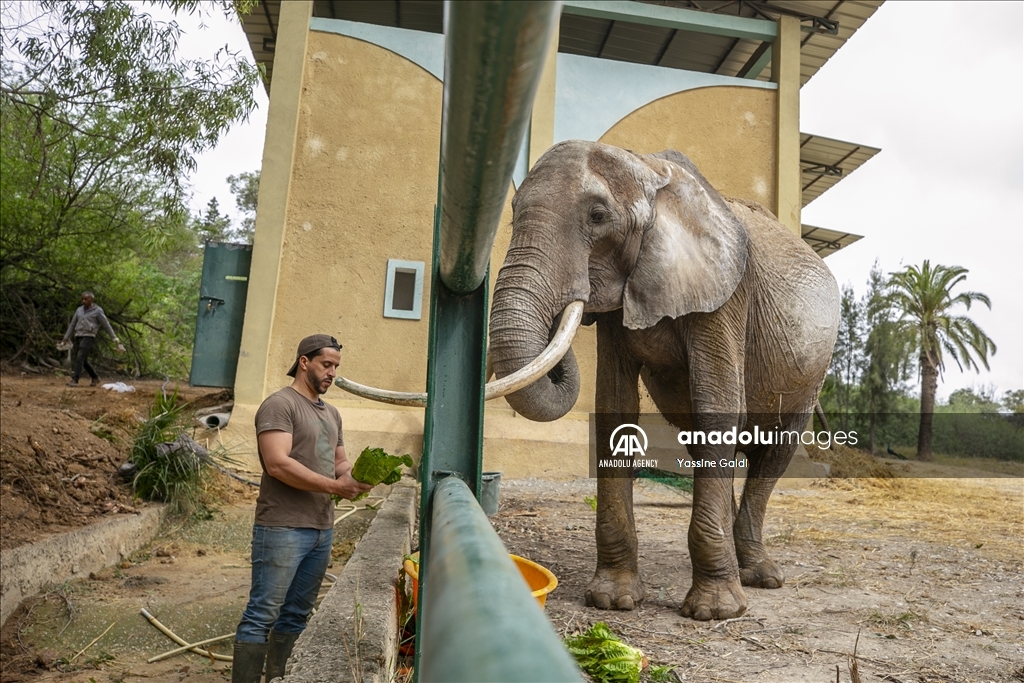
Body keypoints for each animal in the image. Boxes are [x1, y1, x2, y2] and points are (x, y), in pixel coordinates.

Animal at [488, 140, 840, 620]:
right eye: (513, 212)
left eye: (598, 216)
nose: (568, 307)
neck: (650, 170)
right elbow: (614, 411)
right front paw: (613, 601)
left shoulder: (727, 298)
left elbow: (717, 410)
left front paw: (714, 612)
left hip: (812, 375)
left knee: (774, 454)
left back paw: (761, 576)